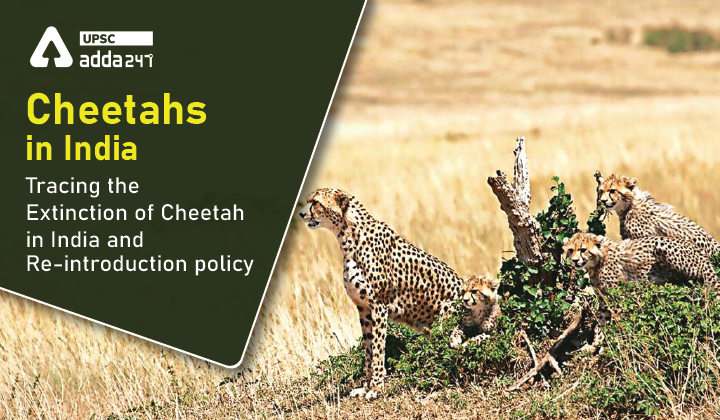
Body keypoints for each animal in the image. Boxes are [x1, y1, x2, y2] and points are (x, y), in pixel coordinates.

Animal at [298, 188, 463, 400]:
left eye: (316, 202)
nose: (301, 214)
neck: (348, 237)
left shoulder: (379, 306)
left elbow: (377, 349)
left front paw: (376, 387)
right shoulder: (363, 309)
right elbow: (368, 349)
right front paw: (366, 386)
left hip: (448, 312)